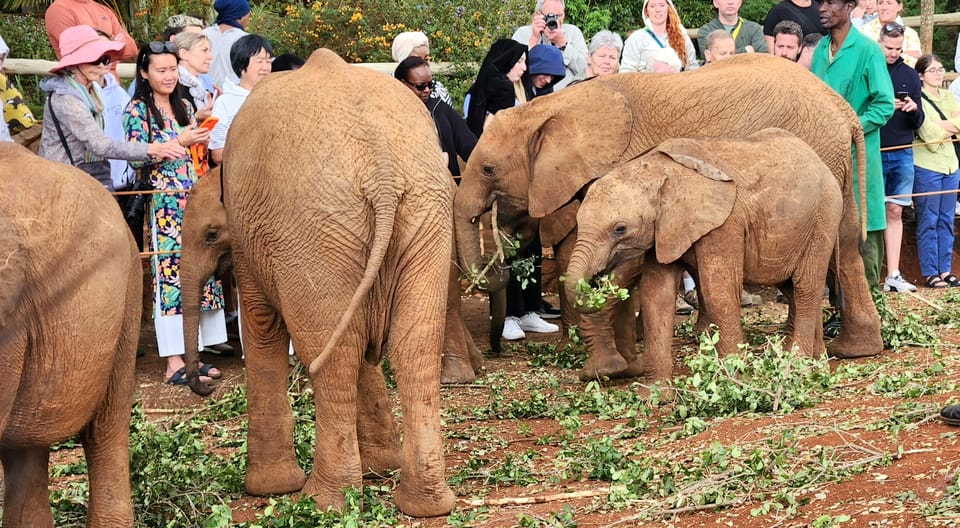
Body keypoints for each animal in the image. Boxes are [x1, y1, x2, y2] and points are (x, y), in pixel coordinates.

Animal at [180, 49, 455, 517]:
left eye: (211, 235)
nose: (204, 384)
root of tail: (381, 166)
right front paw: (381, 466)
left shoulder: (254, 239)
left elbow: (261, 325)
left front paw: (268, 488)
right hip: (424, 210)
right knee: (411, 345)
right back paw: (425, 505)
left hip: (313, 229)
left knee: (332, 352)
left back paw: (324, 503)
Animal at [565, 129, 843, 364]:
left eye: (620, 229)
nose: (596, 280)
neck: (657, 169)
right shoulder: (666, 231)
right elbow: (657, 292)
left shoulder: (725, 223)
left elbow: (718, 290)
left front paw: (734, 367)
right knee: (790, 287)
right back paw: (815, 359)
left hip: (825, 215)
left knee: (806, 286)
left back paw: (797, 360)